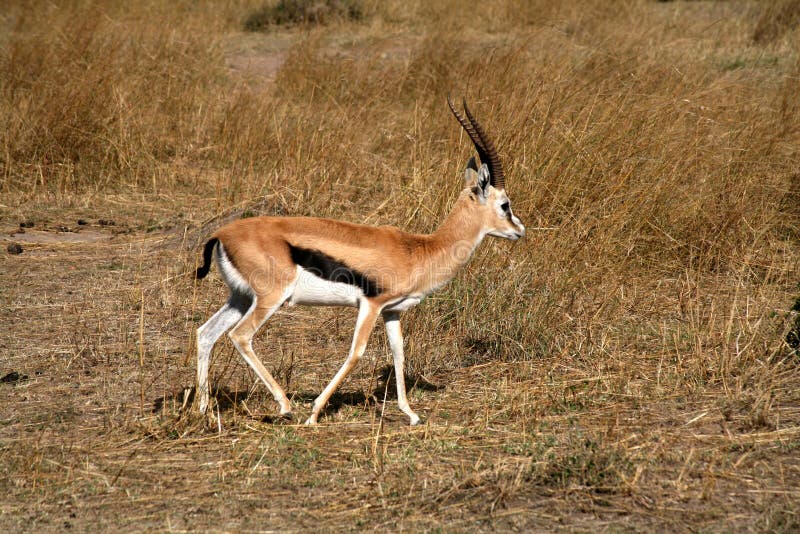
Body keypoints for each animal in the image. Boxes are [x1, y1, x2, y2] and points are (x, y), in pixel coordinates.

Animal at [194, 98, 525, 425]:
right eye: (504, 204)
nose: (519, 230)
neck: (418, 250)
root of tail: (221, 234)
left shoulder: (392, 311)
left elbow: (399, 353)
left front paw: (411, 414)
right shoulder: (371, 304)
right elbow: (357, 352)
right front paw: (315, 412)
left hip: (240, 297)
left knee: (206, 333)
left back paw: (203, 409)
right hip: (270, 298)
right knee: (240, 336)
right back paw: (285, 406)